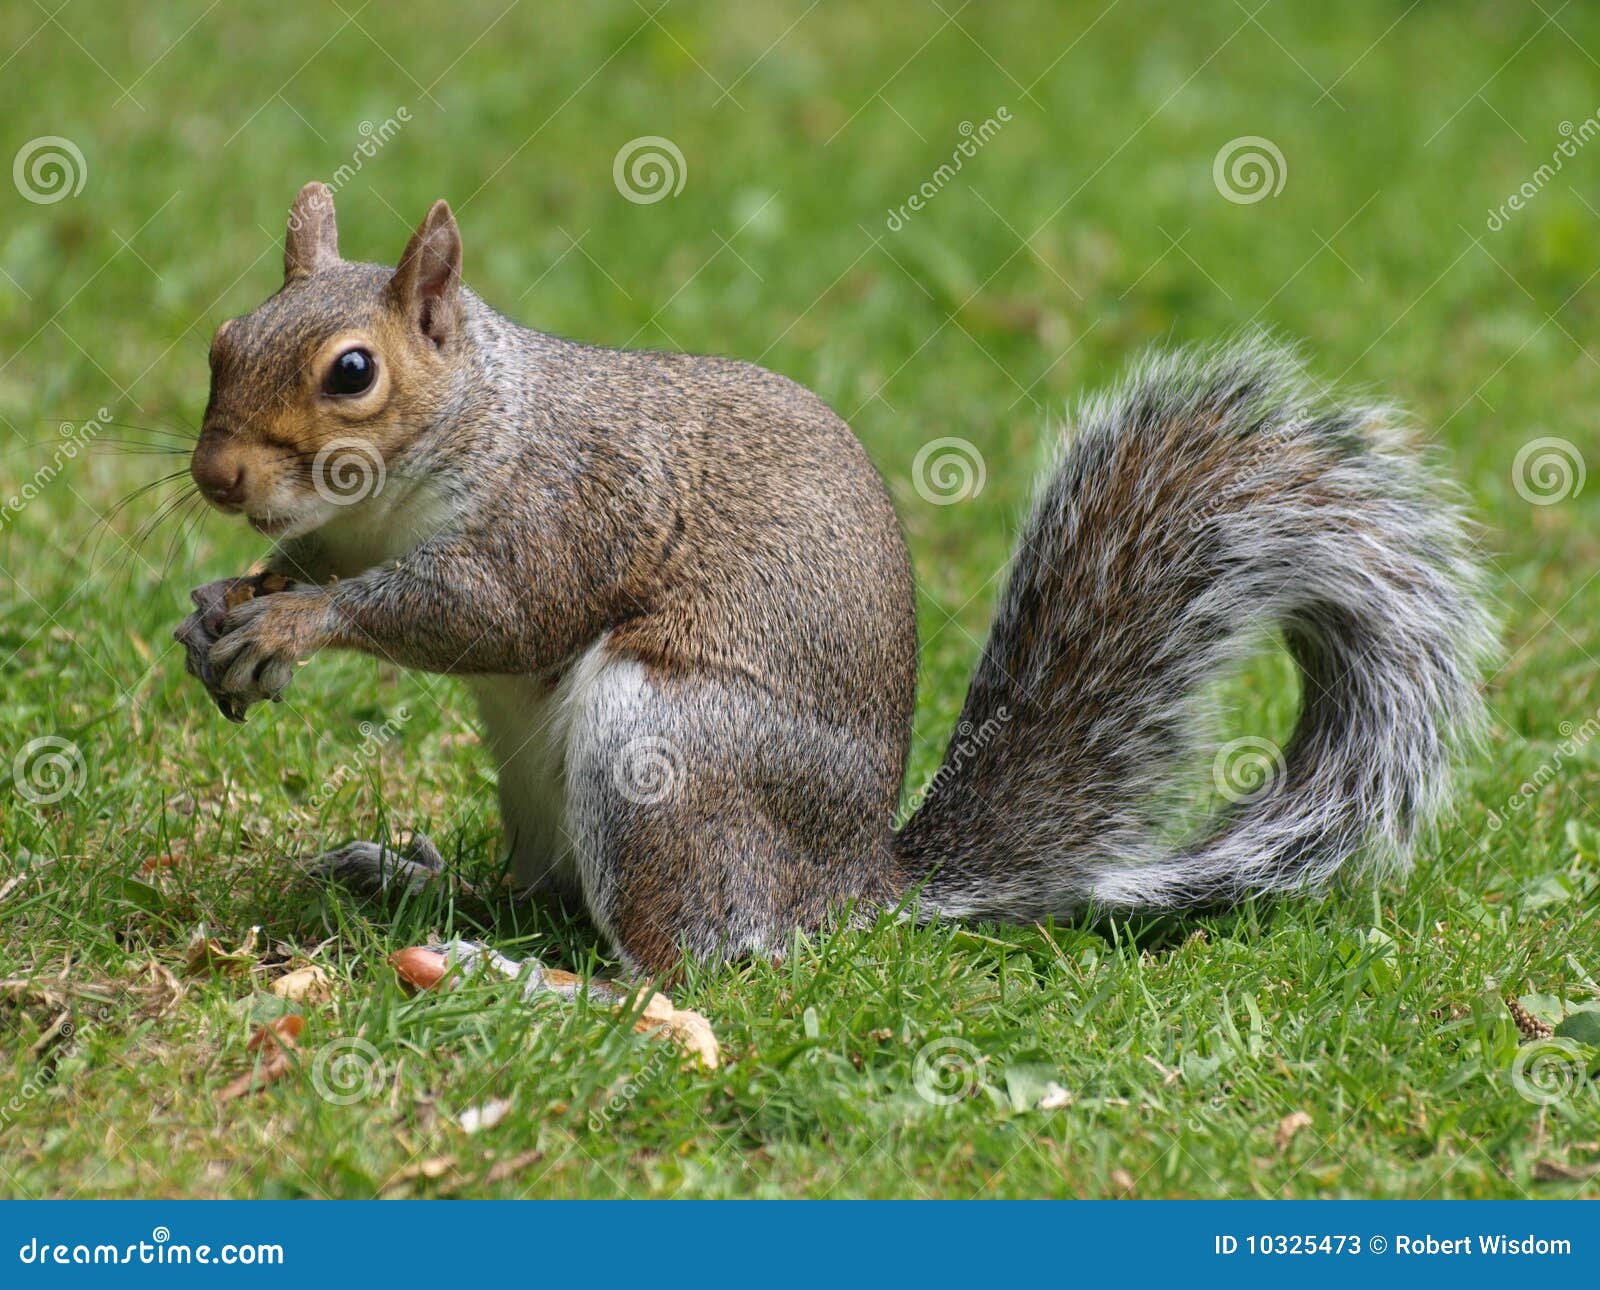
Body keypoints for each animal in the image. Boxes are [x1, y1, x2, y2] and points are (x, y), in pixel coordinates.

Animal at [179, 181, 1492, 975]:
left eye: (353, 372)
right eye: (222, 340)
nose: (215, 475)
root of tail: (852, 888)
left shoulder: (566, 510)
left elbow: (483, 613)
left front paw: (298, 623)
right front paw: (225, 607)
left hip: (664, 747)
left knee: (676, 973)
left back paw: (508, 977)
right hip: (543, 780)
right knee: (550, 893)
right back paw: (418, 886)